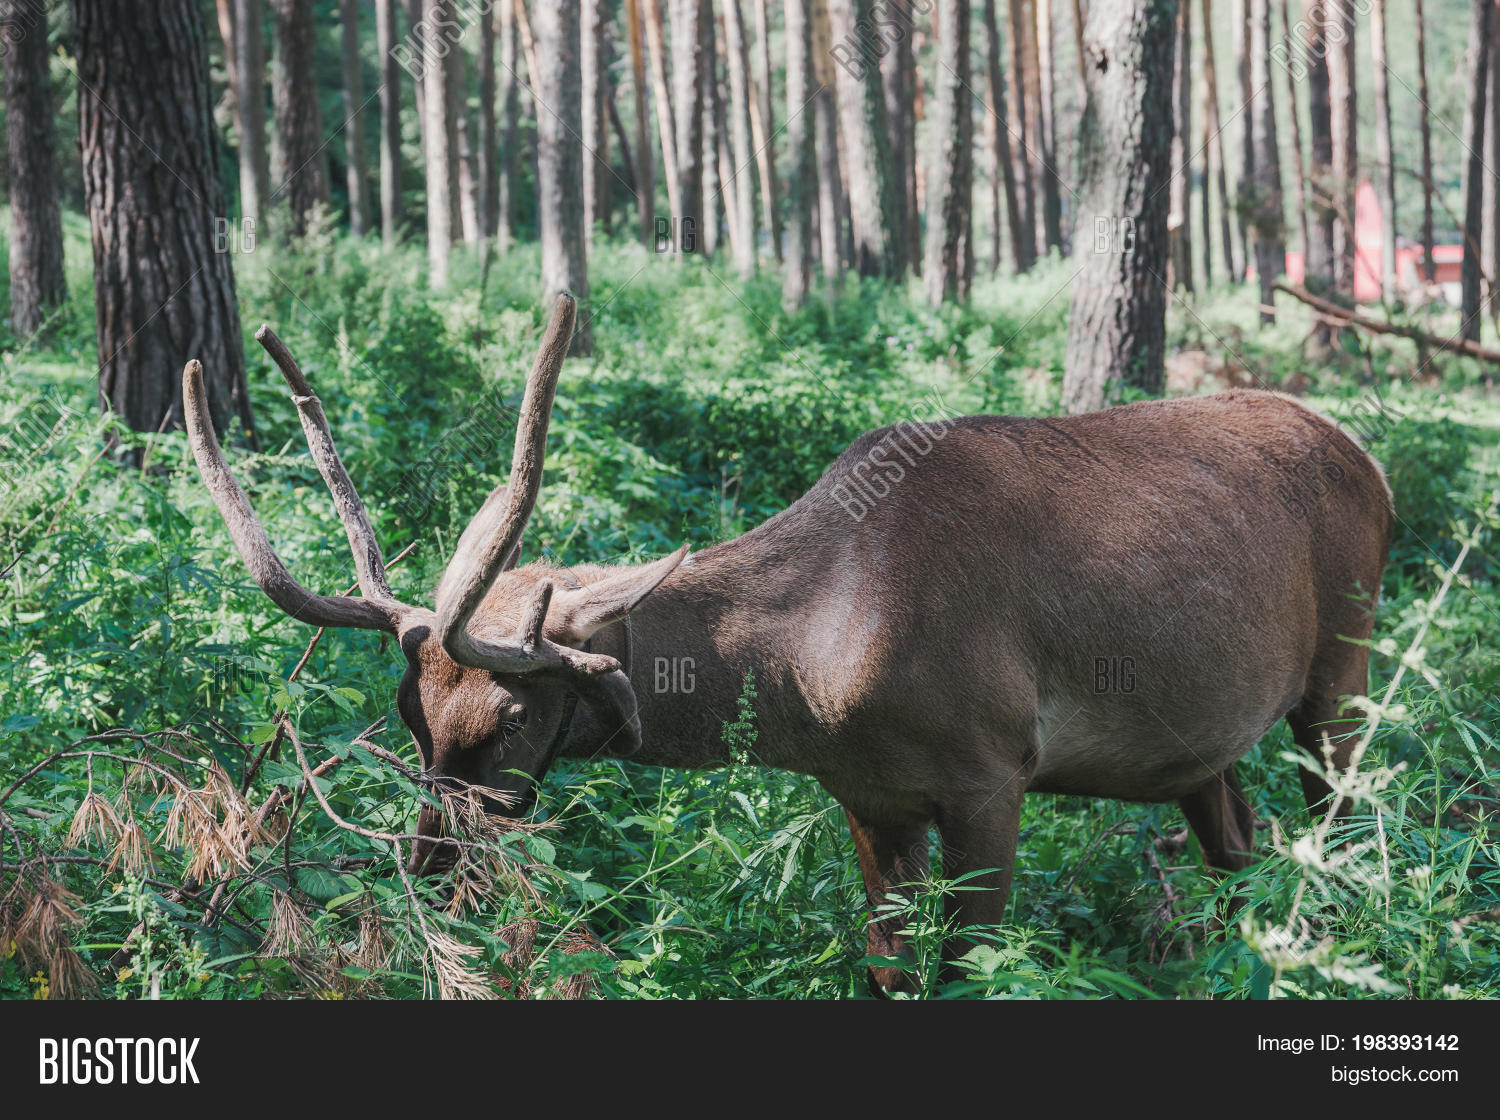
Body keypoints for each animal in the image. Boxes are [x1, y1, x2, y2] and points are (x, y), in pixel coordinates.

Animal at [183, 293, 1393, 995]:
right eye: (408, 709)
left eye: (517, 712)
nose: (431, 867)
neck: (817, 672)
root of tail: (1369, 456)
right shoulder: (870, 796)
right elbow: (886, 970)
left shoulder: (993, 772)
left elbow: (968, 972)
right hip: (1199, 746)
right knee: (1239, 846)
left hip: (1343, 669)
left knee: (1339, 827)